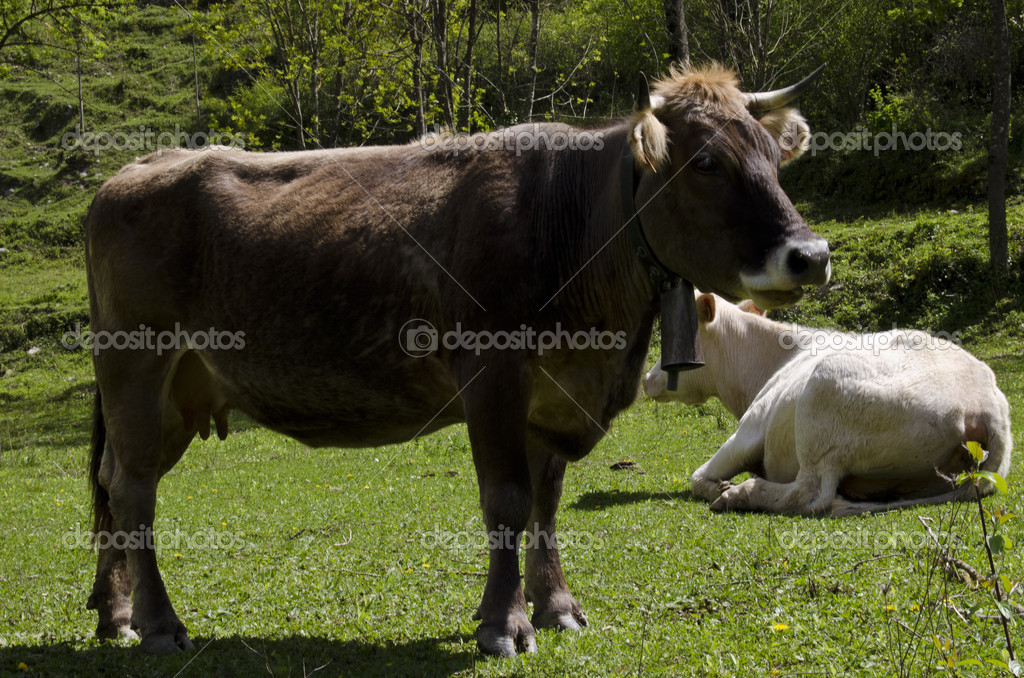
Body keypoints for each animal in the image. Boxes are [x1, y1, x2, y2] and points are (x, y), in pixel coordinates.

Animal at [83, 65, 830, 656]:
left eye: (773, 154)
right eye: (705, 163)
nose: (811, 256)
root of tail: (137, 168)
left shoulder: (555, 393)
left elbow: (546, 503)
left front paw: (556, 607)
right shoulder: (491, 372)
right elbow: (507, 497)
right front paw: (505, 624)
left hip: (180, 391)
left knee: (114, 482)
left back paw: (117, 615)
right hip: (137, 366)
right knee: (134, 489)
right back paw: (159, 625)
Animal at [644, 293, 1013, 516]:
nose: (647, 379)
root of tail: (983, 404)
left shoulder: (749, 429)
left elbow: (698, 478)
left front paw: (722, 486)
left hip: (819, 411)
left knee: (809, 494)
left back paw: (741, 493)